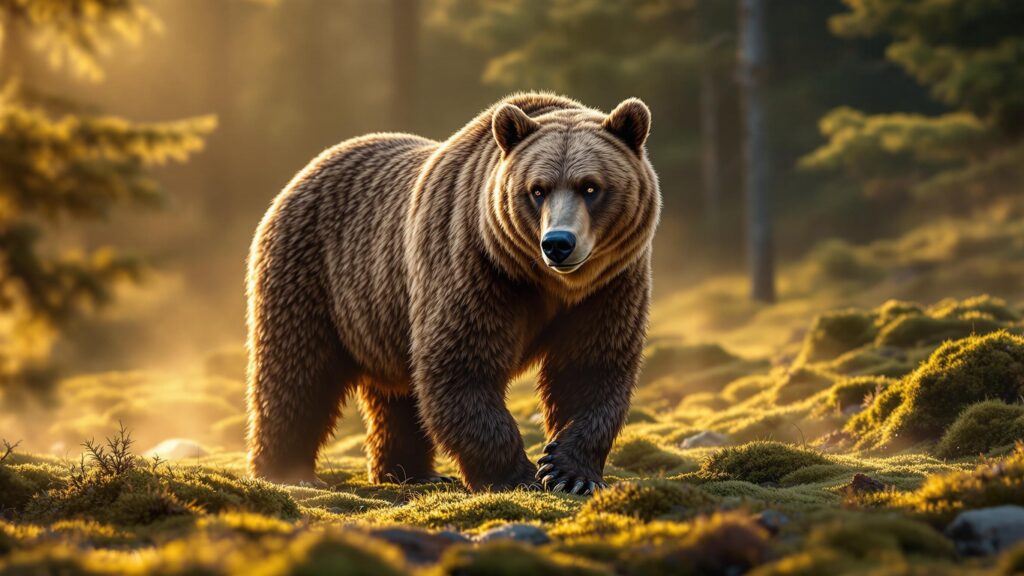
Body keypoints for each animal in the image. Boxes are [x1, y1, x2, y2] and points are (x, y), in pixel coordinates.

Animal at [246, 92, 660, 493]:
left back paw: (410, 473)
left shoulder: (609, 286)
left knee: (399, 393)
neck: (549, 283)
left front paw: (569, 472)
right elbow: (462, 364)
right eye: (537, 190)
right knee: (298, 371)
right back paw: (289, 471)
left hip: (384, 313)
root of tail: (305, 171)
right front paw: (516, 475)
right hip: (313, 274)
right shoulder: (475, 267)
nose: (558, 243)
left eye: (590, 186)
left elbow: (590, 368)